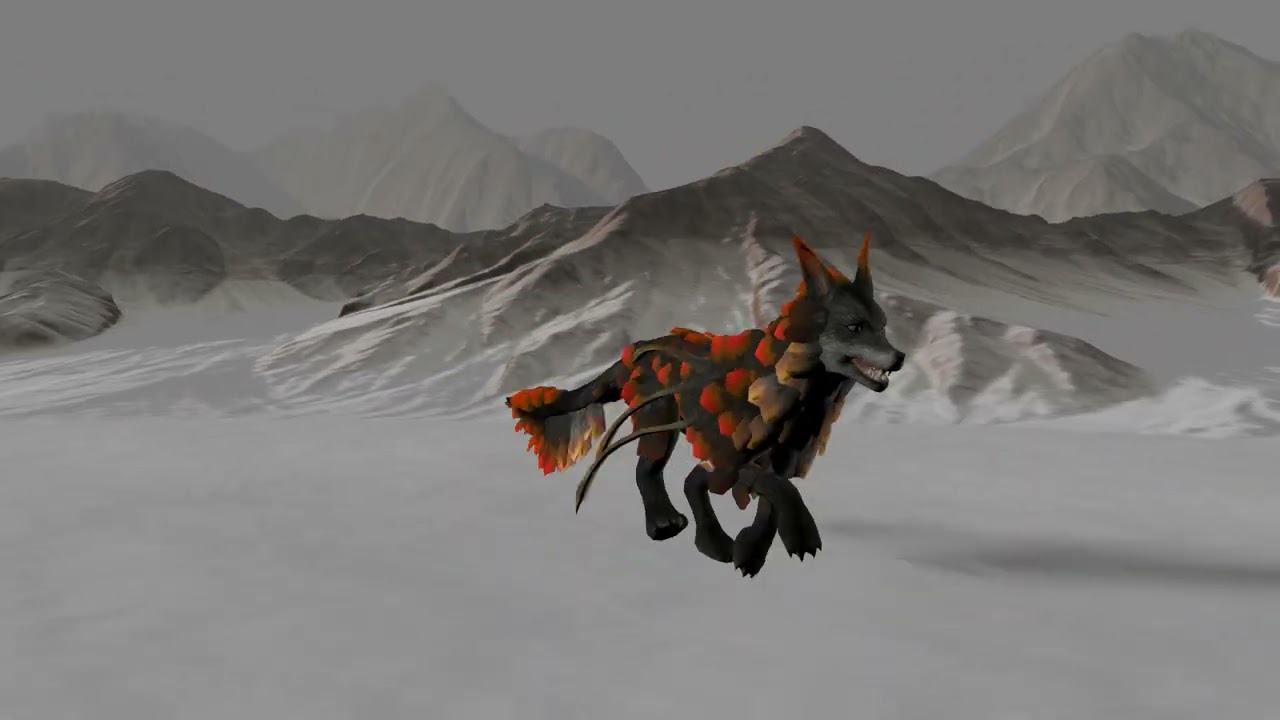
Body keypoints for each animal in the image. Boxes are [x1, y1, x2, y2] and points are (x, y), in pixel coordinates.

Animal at [504, 233, 905, 577]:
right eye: (855, 327)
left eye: (883, 326)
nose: (899, 357)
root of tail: (634, 350)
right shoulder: (728, 450)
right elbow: (769, 488)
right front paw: (794, 535)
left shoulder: (779, 452)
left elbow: (765, 501)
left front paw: (750, 551)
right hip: (658, 423)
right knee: (647, 471)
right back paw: (664, 525)